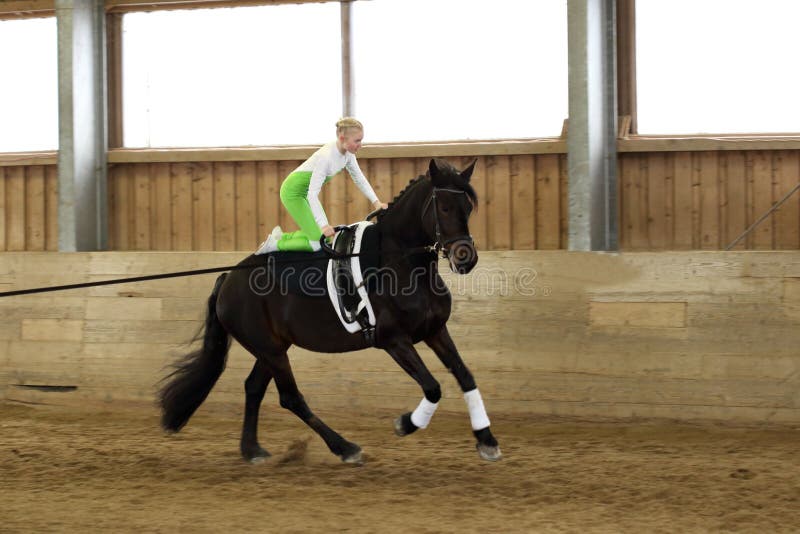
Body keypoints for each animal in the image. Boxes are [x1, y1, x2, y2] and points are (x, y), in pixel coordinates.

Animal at [159, 158, 502, 463]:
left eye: (468, 207)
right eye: (443, 208)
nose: (466, 258)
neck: (403, 264)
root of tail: (228, 279)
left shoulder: (434, 331)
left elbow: (465, 376)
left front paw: (487, 440)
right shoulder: (393, 340)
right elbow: (432, 386)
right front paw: (406, 424)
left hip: (272, 348)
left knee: (254, 387)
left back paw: (252, 450)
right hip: (270, 350)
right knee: (290, 398)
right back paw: (345, 448)